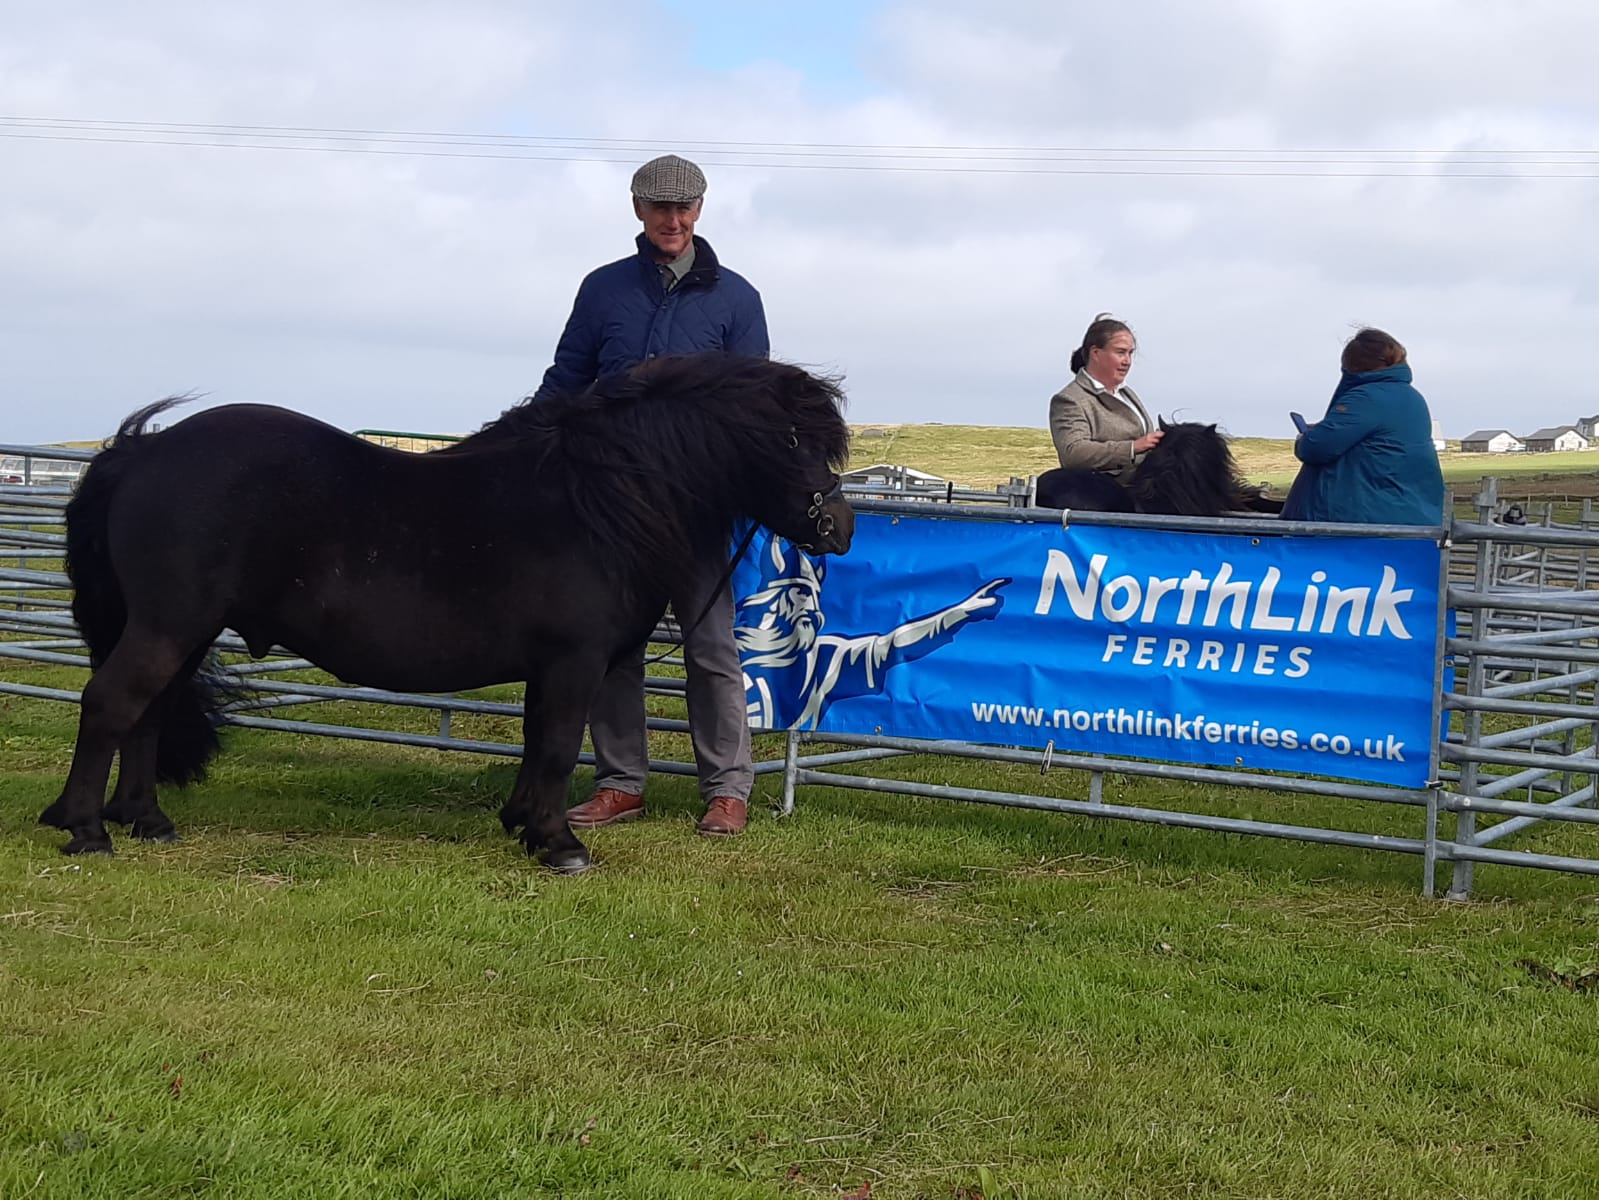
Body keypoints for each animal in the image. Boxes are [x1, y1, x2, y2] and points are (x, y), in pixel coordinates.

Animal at [40, 355, 854, 873]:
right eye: (792, 440)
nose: (839, 527)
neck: (593, 500)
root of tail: (141, 452)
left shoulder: (551, 668)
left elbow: (536, 744)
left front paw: (522, 824)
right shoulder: (573, 661)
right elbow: (558, 749)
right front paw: (560, 846)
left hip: (183, 630)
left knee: (147, 714)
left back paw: (147, 821)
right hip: (168, 624)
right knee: (111, 703)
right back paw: (86, 829)